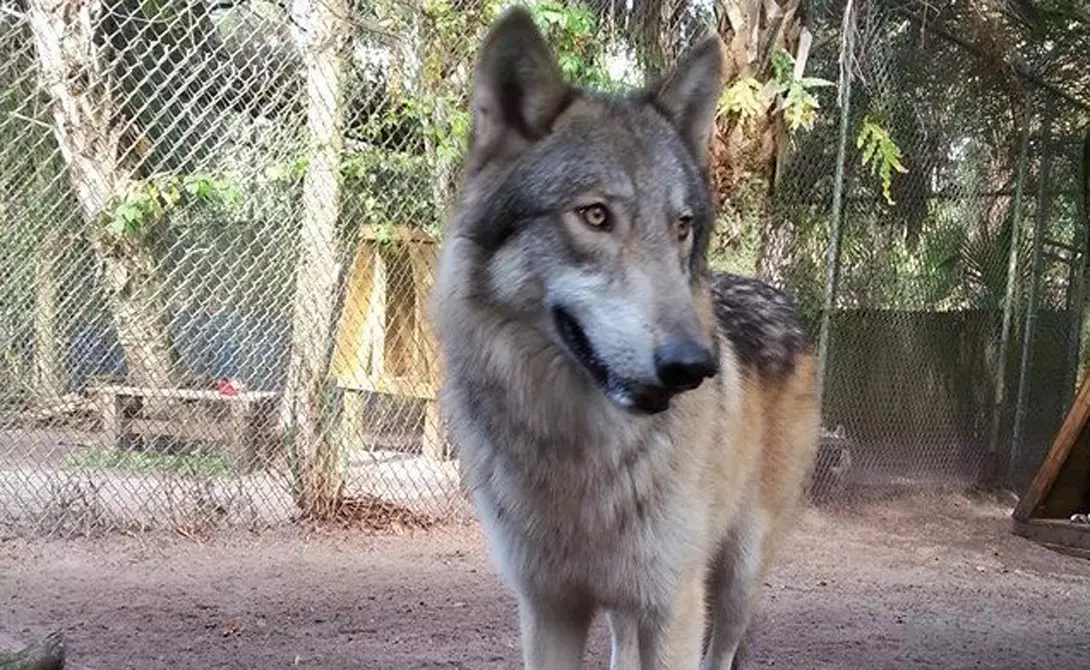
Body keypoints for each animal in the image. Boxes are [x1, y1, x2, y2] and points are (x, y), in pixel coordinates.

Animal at [429, 6, 819, 670]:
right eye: (594, 216)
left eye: (681, 225)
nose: (694, 366)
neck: (578, 454)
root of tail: (778, 298)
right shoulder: (549, 606)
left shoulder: (673, 604)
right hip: (626, 605)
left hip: (736, 576)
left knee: (723, 649)